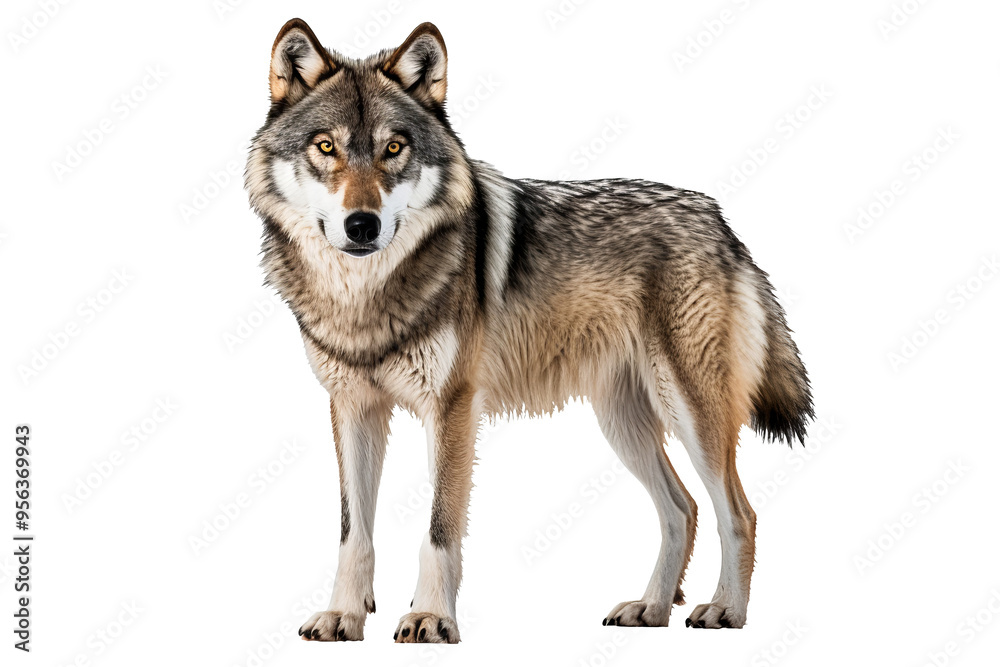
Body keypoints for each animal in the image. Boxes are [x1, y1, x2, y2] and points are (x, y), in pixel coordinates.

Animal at [245, 19, 813, 643]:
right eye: (327, 147)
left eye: (394, 148)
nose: (362, 225)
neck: (364, 296)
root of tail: (720, 221)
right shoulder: (352, 407)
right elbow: (354, 532)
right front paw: (343, 615)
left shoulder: (453, 407)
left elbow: (439, 530)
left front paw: (431, 617)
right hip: (622, 421)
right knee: (681, 509)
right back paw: (651, 608)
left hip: (689, 411)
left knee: (738, 512)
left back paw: (725, 611)